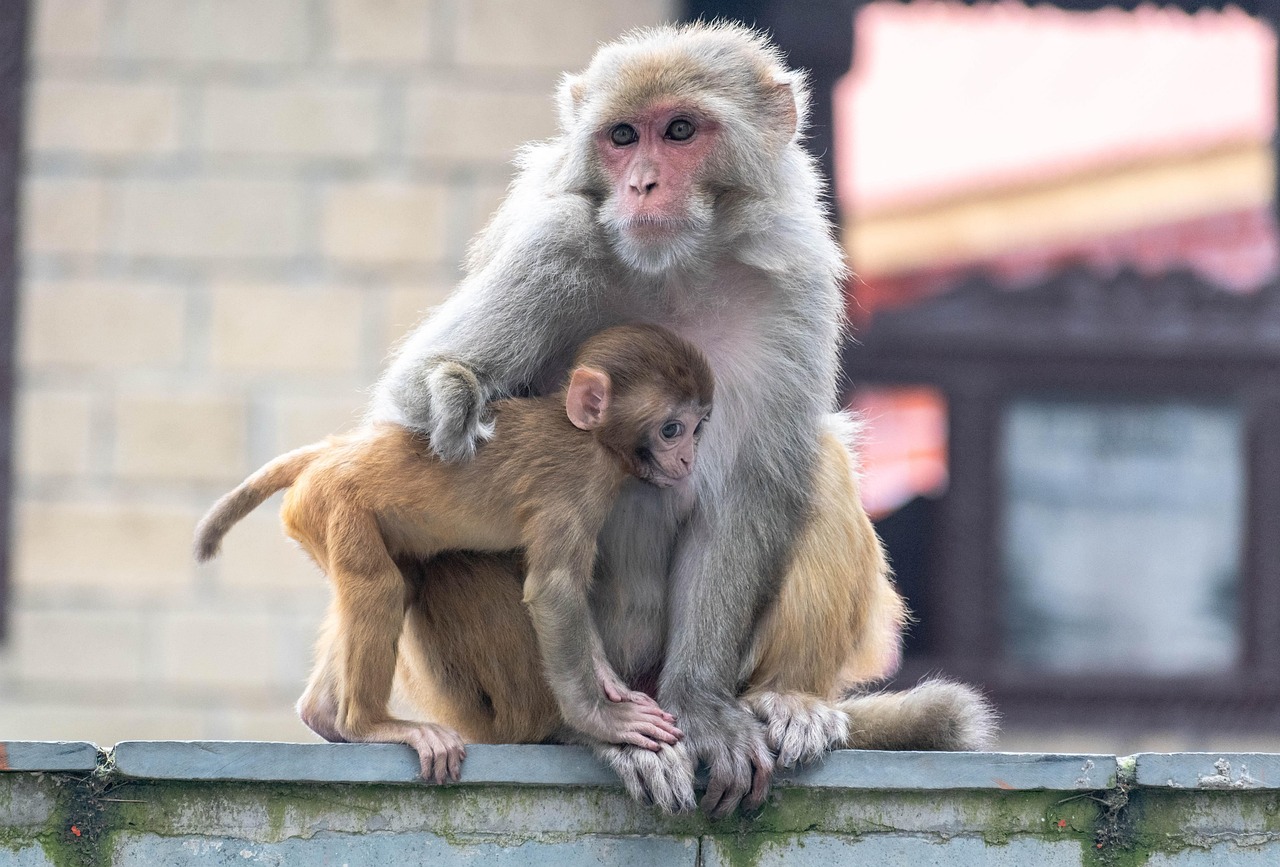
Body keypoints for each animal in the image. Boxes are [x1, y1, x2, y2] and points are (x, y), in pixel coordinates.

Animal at [194, 324, 715, 782]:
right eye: (672, 429)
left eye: (698, 428)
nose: (688, 458)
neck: (590, 436)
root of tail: (332, 457)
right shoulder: (577, 483)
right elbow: (553, 589)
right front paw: (602, 719)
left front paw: (607, 678)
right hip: (331, 504)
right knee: (380, 588)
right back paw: (365, 725)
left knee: (396, 584)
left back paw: (321, 714)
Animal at [351, 21, 995, 816]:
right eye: (623, 136)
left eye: (680, 131)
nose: (642, 184)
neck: (675, 268)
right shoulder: (553, 242)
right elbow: (418, 406)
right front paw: (455, 399)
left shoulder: (796, 276)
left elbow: (752, 485)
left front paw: (703, 706)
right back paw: (578, 727)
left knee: (814, 461)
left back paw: (789, 700)